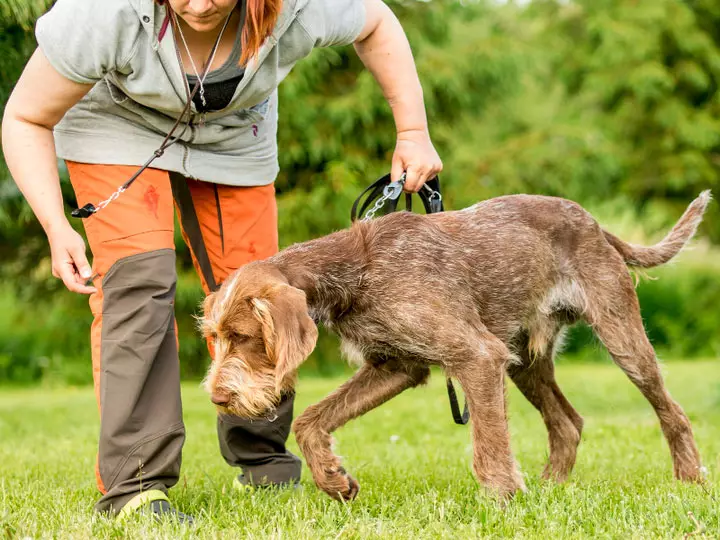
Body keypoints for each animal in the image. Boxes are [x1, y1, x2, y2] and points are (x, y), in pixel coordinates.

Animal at [198, 191, 708, 502]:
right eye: (214, 337)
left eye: (243, 337)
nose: (217, 398)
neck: (357, 270)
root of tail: (594, 222)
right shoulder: (395, 367)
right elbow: (310, 420)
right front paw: (333, 479)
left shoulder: (477, 357)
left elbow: (489, 445)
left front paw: (503, 499)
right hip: (524, 361)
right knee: (568, 423)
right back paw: (550, 488)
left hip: (621, 337)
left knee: (672, 411)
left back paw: (689, 478)